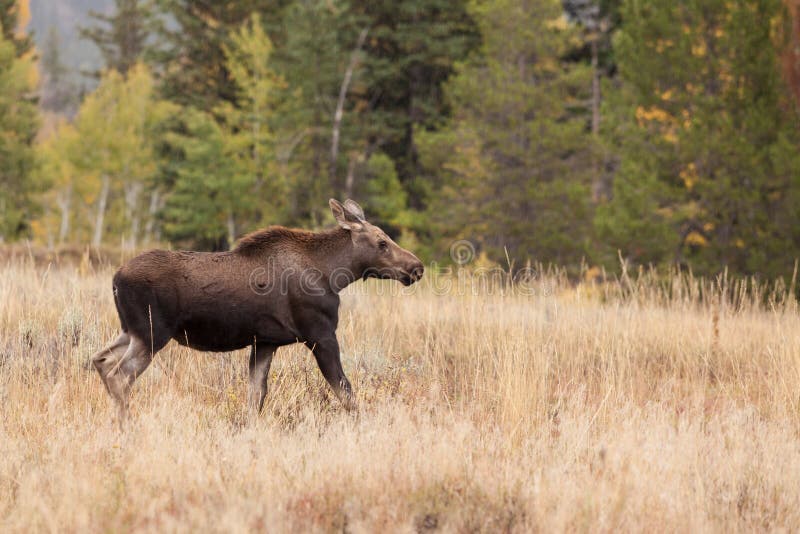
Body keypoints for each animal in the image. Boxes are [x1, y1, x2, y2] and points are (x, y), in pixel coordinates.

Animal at [90, 199, 424, 424]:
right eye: (382, 242)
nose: (416, 267)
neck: (334, 275)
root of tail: (116, 279)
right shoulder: (320, 333)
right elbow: (345, 389)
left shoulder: (265, 341)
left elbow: (256, 395)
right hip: (152, 332)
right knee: (120, 374)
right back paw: (127, 425)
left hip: (130, 330)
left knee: (100, 360)